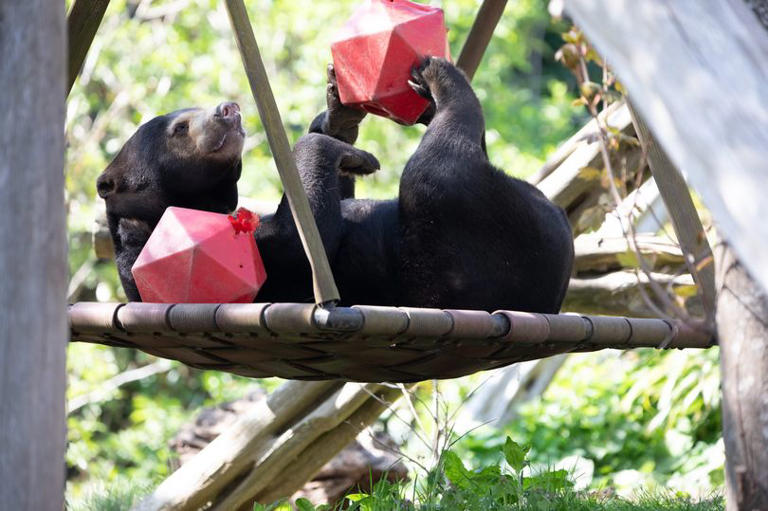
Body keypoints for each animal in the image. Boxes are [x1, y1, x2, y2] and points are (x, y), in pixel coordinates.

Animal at [98, 58, 574, 313]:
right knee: (441, 160)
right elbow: (298, 244)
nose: (228, 109)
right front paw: (348, 152)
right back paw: (441, 80)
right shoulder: (184, 248)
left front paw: (339, 113)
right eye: (180, 128)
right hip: (463, 232)